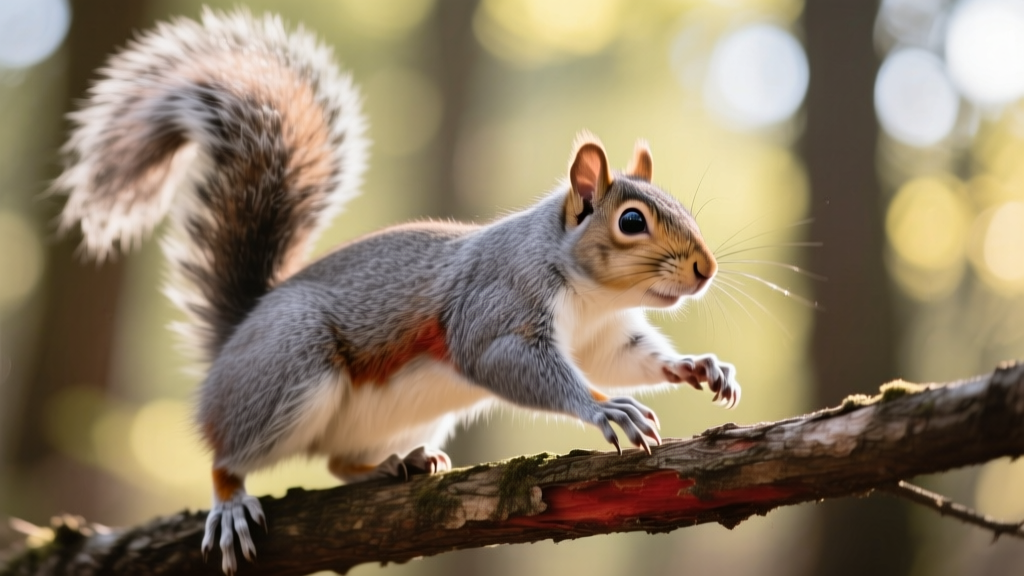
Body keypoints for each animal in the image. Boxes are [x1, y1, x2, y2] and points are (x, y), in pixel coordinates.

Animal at [55, 9, 740, 575]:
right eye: (632, 221)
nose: (705, 268)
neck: (589, 294)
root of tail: (232, 345)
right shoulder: (495, 306)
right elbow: (508, 360)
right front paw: (606, 407)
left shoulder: (602, 336)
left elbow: (628, 358)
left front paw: (698, 367)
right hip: (288, 367)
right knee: (230, 450)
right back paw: (230, 499)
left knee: (336, 461)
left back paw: (396, 464)